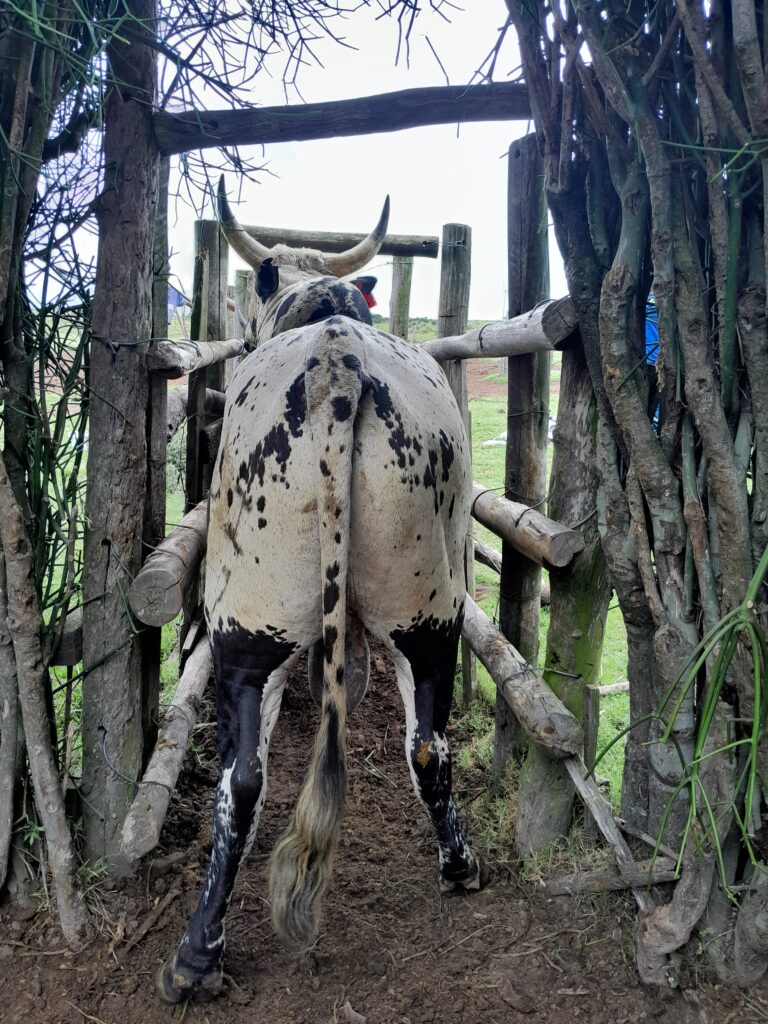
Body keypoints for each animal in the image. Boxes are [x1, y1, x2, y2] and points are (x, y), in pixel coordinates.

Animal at [158, 180, 486, 1004]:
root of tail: (335, 363)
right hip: (423, 612)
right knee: (423, 745)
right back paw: (458, 866)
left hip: (249, 630)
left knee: (244, 778)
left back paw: (197, 953)